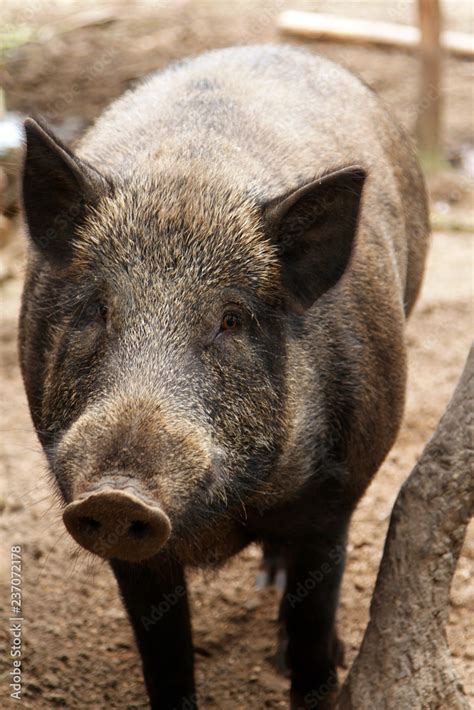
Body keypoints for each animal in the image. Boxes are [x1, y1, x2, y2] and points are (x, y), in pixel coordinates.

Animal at [19, 44, 429, 709]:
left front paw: (310, 667)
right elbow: (165, 658)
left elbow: (313, 631)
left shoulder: (335, 499)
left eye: (232, 319)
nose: (115, 494)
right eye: (96, 308)